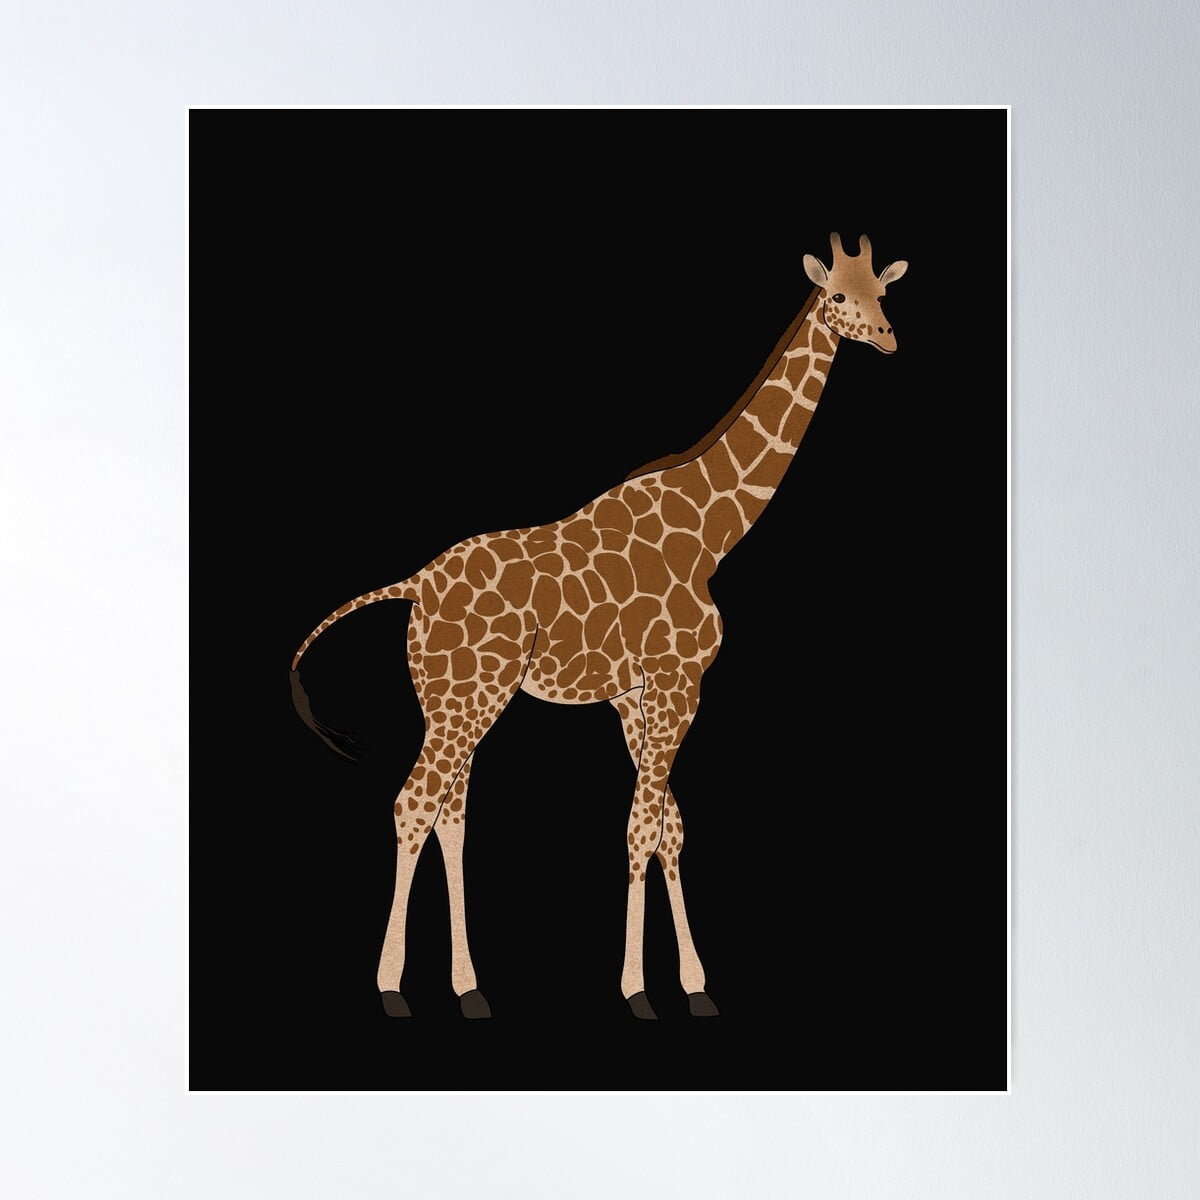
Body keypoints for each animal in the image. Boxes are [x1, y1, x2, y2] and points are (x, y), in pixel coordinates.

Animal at [290, 232, 908, 1020]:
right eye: (836, 294)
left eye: (881, 292)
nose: (886, 336)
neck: (714, 530)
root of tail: (415, 586)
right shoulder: (678, 680)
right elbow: (643, 825)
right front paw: (638, 989)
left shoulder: (635, 693)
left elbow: (669, 828)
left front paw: (694, 985)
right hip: (470, 696)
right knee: (415, 803)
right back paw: (391, 986)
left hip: (449, 699)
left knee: (451, 815)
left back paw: (468, 986)